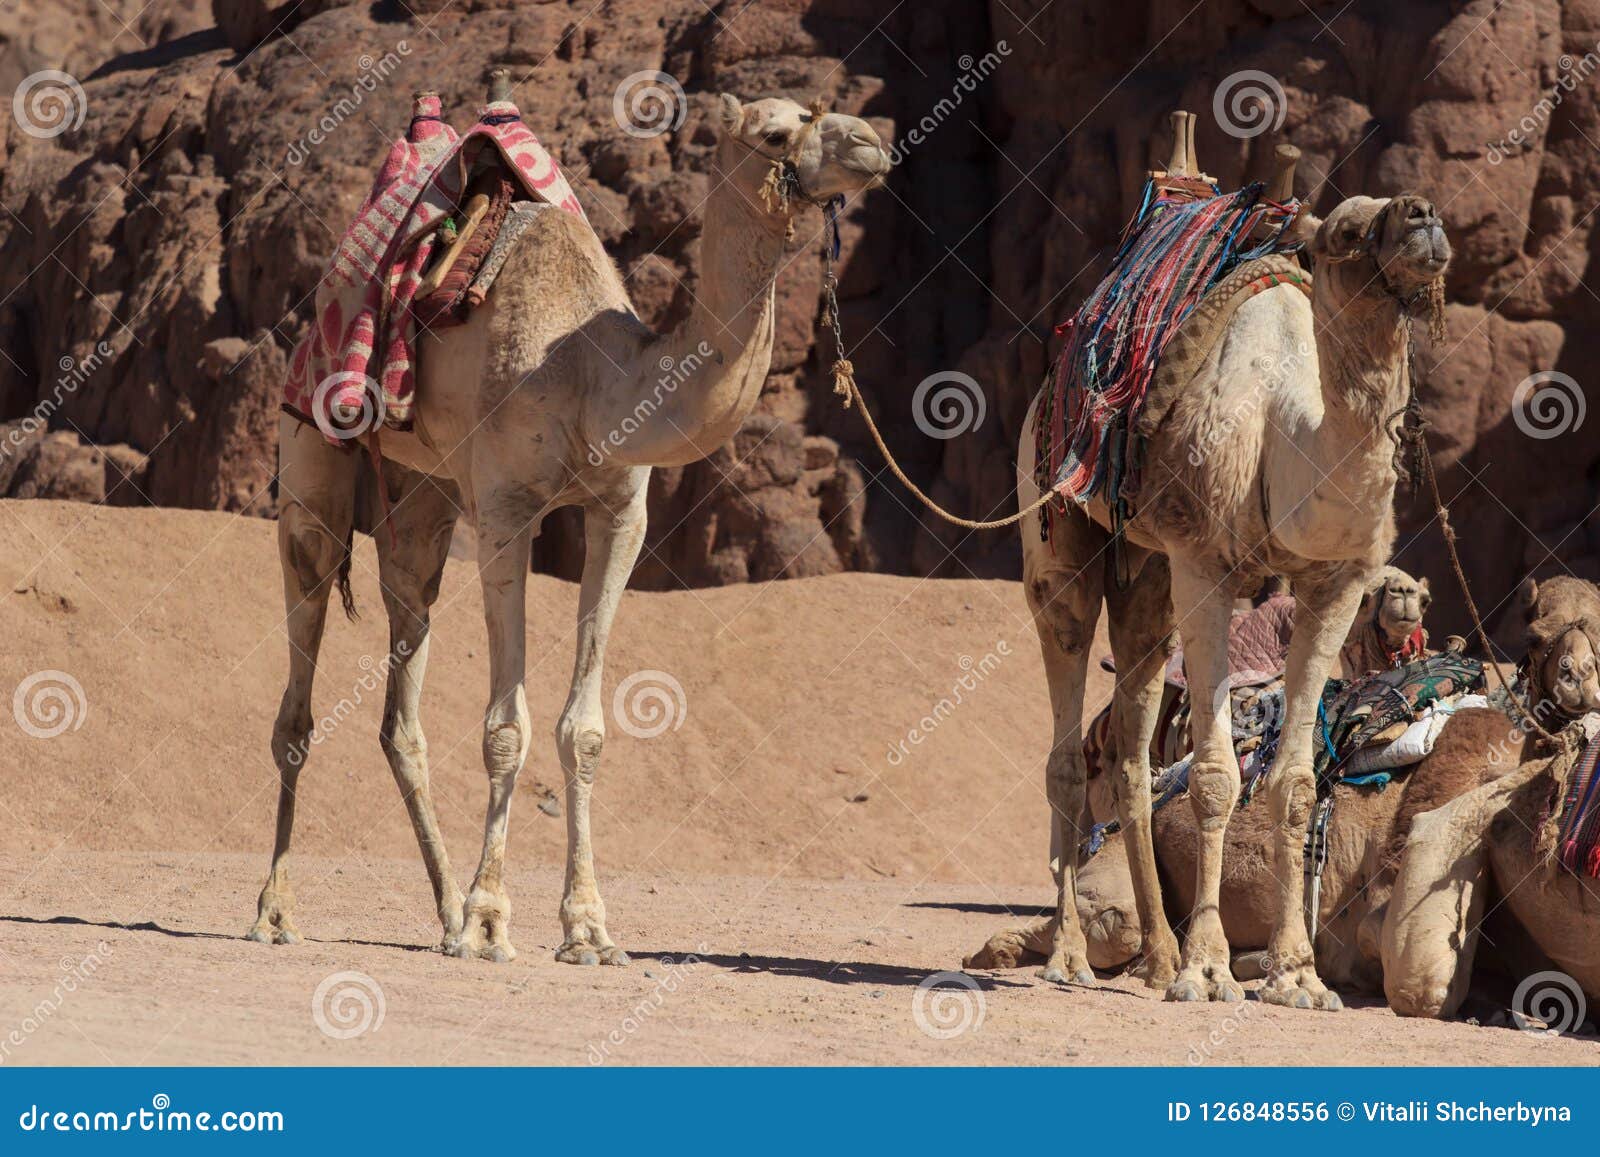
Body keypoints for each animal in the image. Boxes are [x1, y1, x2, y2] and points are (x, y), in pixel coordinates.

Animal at [247, 94, 890, 963]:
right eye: (775, 131)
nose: (872, 143)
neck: (593, 377)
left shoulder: (621, 512)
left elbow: (583, 730)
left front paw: (586, 927)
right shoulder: (506, 509)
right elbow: (505, 727)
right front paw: (492, 919)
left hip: (424, 494)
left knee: (402, 691)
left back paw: (442, 914)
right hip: (311, 450)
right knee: (298, 687)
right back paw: (276, 911)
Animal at [1012, 144, 1452, 1008]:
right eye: (1347, 231)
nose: (1423, 215)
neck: (1287, 432)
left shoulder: (1334, 583)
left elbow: (1296, 783)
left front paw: (1298, 975)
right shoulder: (1205, 564)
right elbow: (1216, 773)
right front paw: (1210, 968)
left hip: (1146, 576)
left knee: (1134, 748)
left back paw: (1153, 956)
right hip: (1056, 527)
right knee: (1065, 737)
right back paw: (1072, 956)